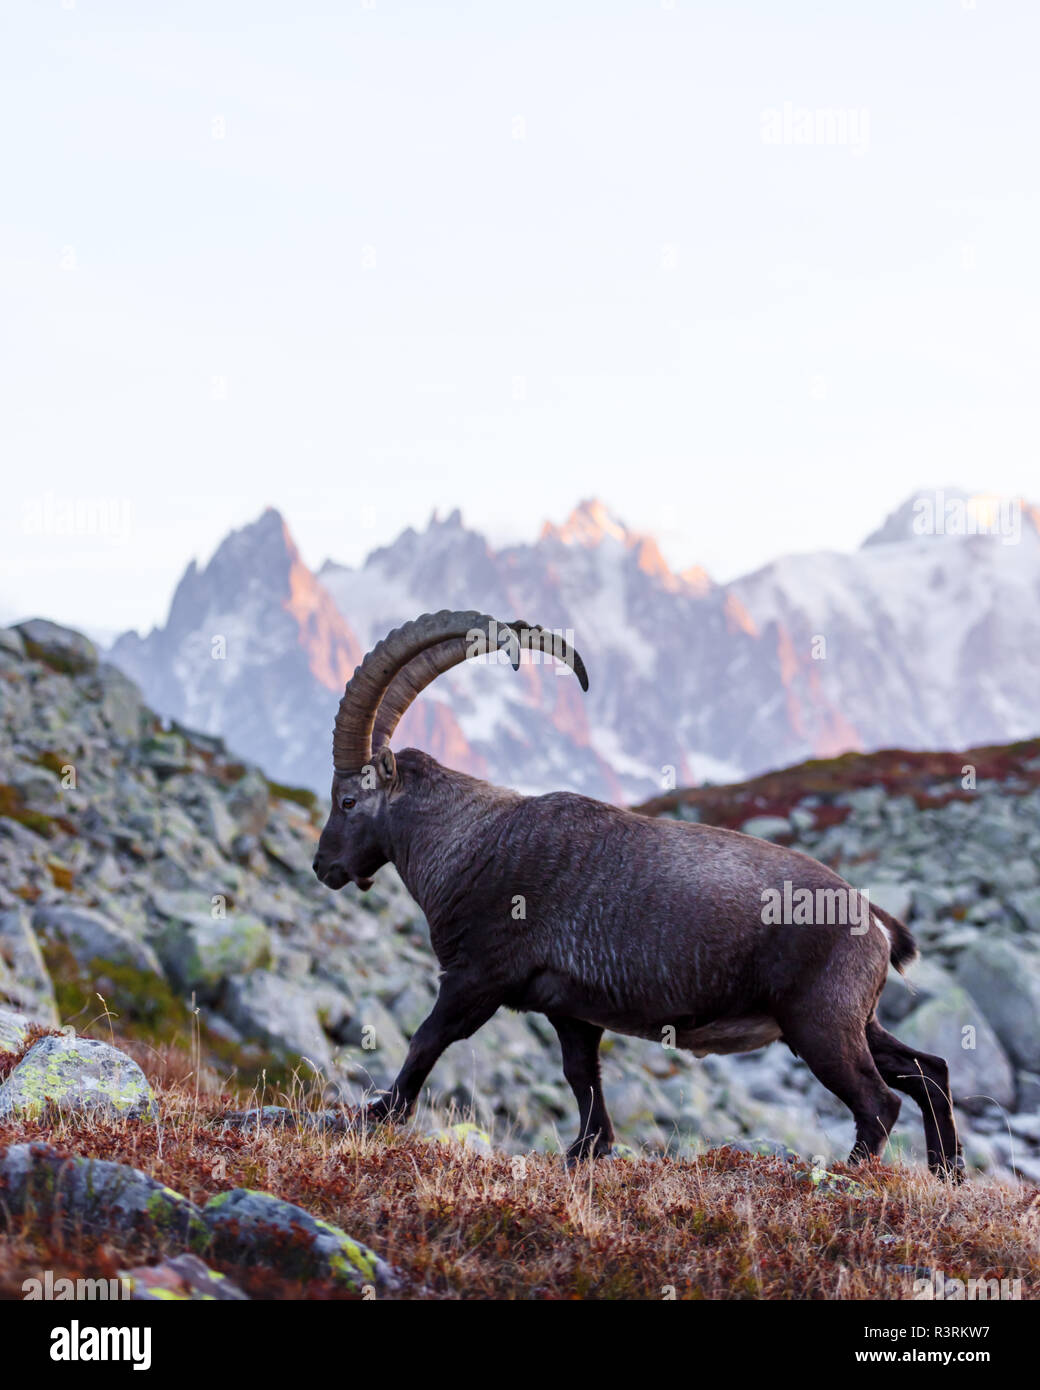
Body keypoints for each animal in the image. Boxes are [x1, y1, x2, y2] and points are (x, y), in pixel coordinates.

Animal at [313, 610, 963, 1178]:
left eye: (348, 800)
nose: (323, 866)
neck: (468, 842)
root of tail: (873, 919)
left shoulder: (476, 978)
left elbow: (427, 1039)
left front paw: (376, 1115)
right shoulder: (568, 1006)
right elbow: (581, 1074)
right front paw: (587, 1151)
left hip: (818, 1023)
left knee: (880, 1102)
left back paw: (847, 1175)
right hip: (851, 1018)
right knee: (928, 1071)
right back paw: (947, 1173)